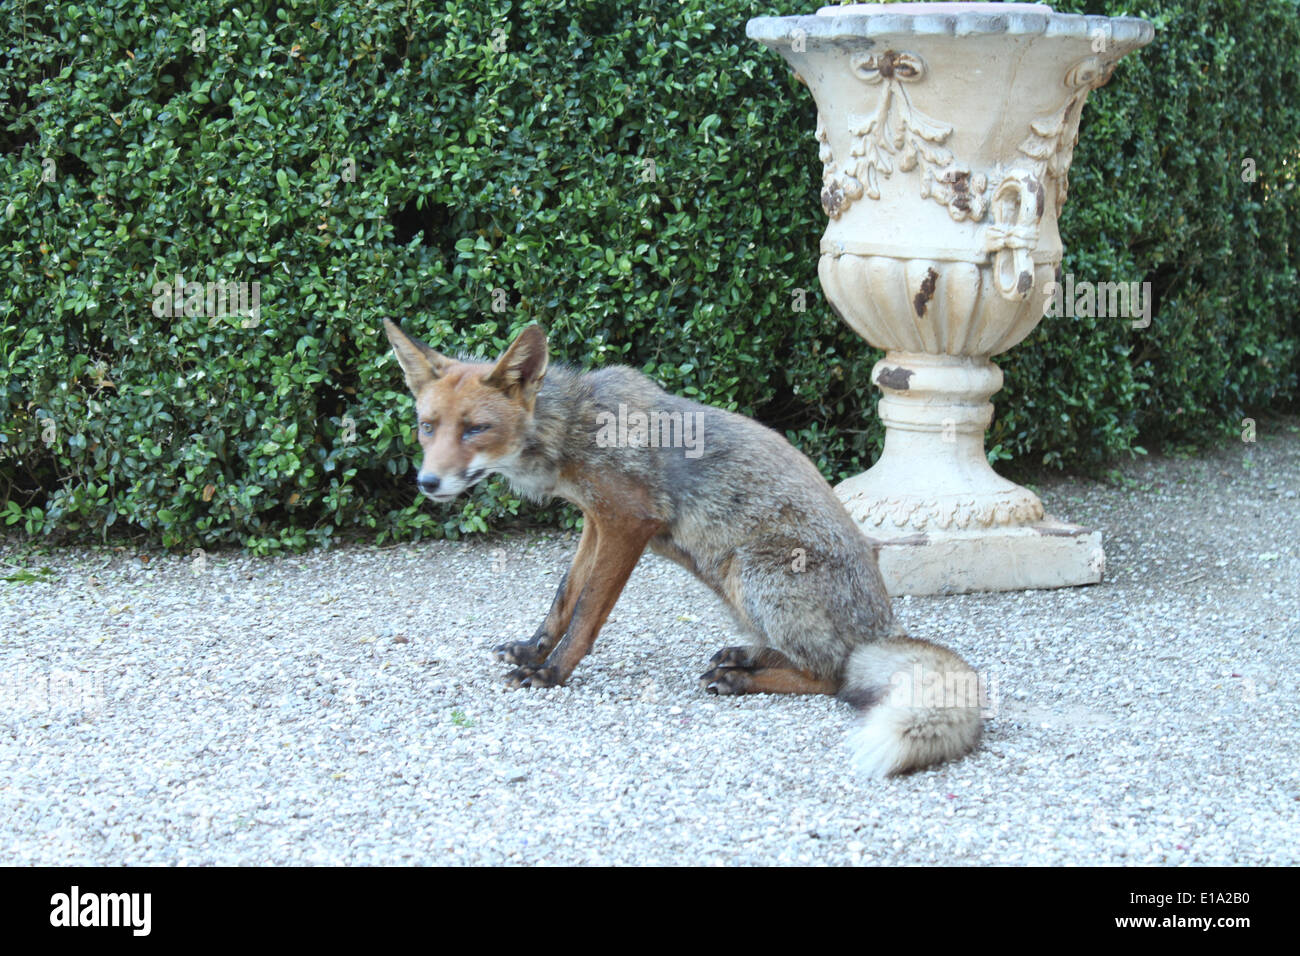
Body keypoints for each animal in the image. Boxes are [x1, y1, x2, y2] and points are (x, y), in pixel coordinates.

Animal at [383, 320, 983, 777]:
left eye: (475, 429)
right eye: (427, 427)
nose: (427, 484)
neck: (574, 426)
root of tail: (883, 628)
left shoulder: (628, 522)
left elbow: (586, 614)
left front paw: (551, 675)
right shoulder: (596, 521)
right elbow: (563, 597)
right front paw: (534, 651)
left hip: (753, 570)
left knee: (834, 675)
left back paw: (743, 680)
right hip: (729, 583)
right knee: (805, 655)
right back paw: (744, 657)